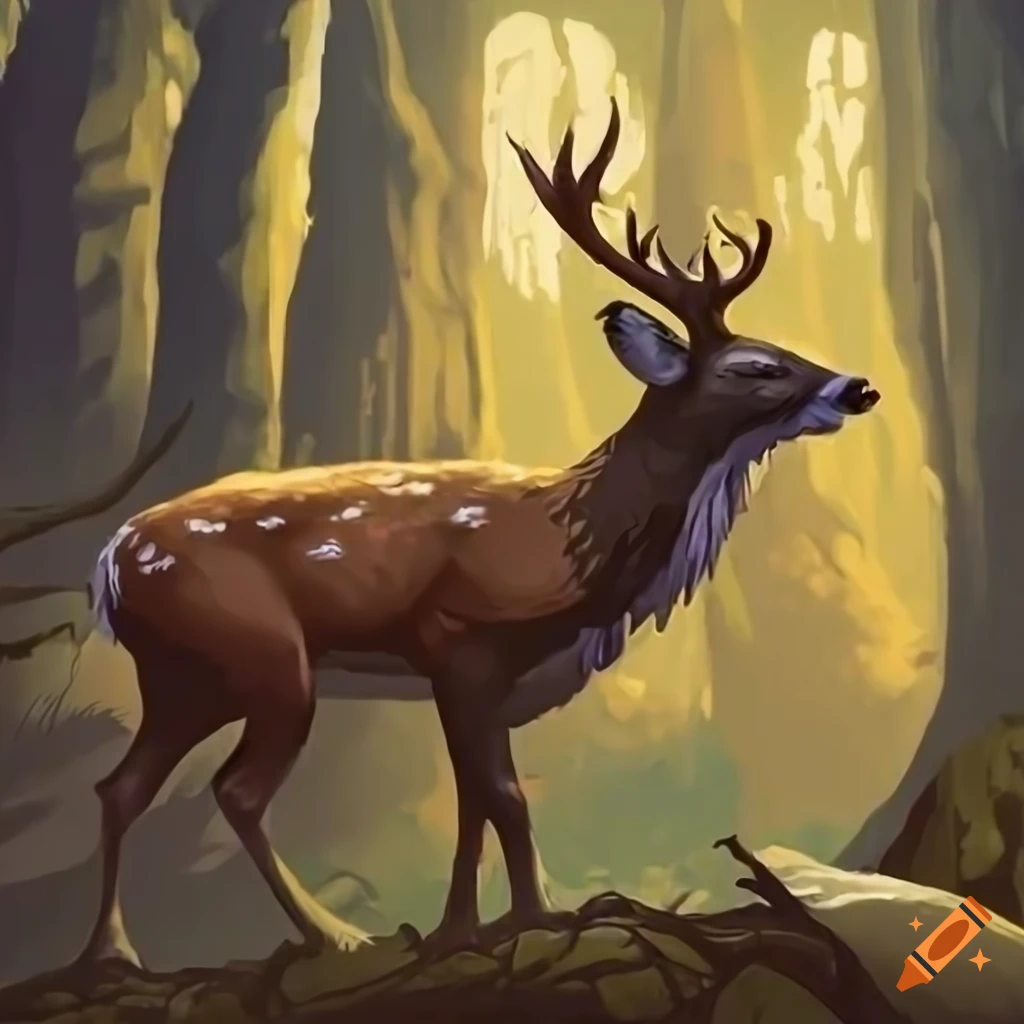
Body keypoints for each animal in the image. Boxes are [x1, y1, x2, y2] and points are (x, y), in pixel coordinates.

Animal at [78, 98, 879, 967]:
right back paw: (336, 934)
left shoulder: (487, 680)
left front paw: (466, 925)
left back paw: (111, 954)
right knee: (236, 791)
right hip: (264, 654)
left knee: (120, 786)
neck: (575, 550)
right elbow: (503, 796)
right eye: (756, 367)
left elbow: (476, 803)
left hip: (185, 674)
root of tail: (110, 562)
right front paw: (537, 917)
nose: (858, 387)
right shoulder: (460, 638)